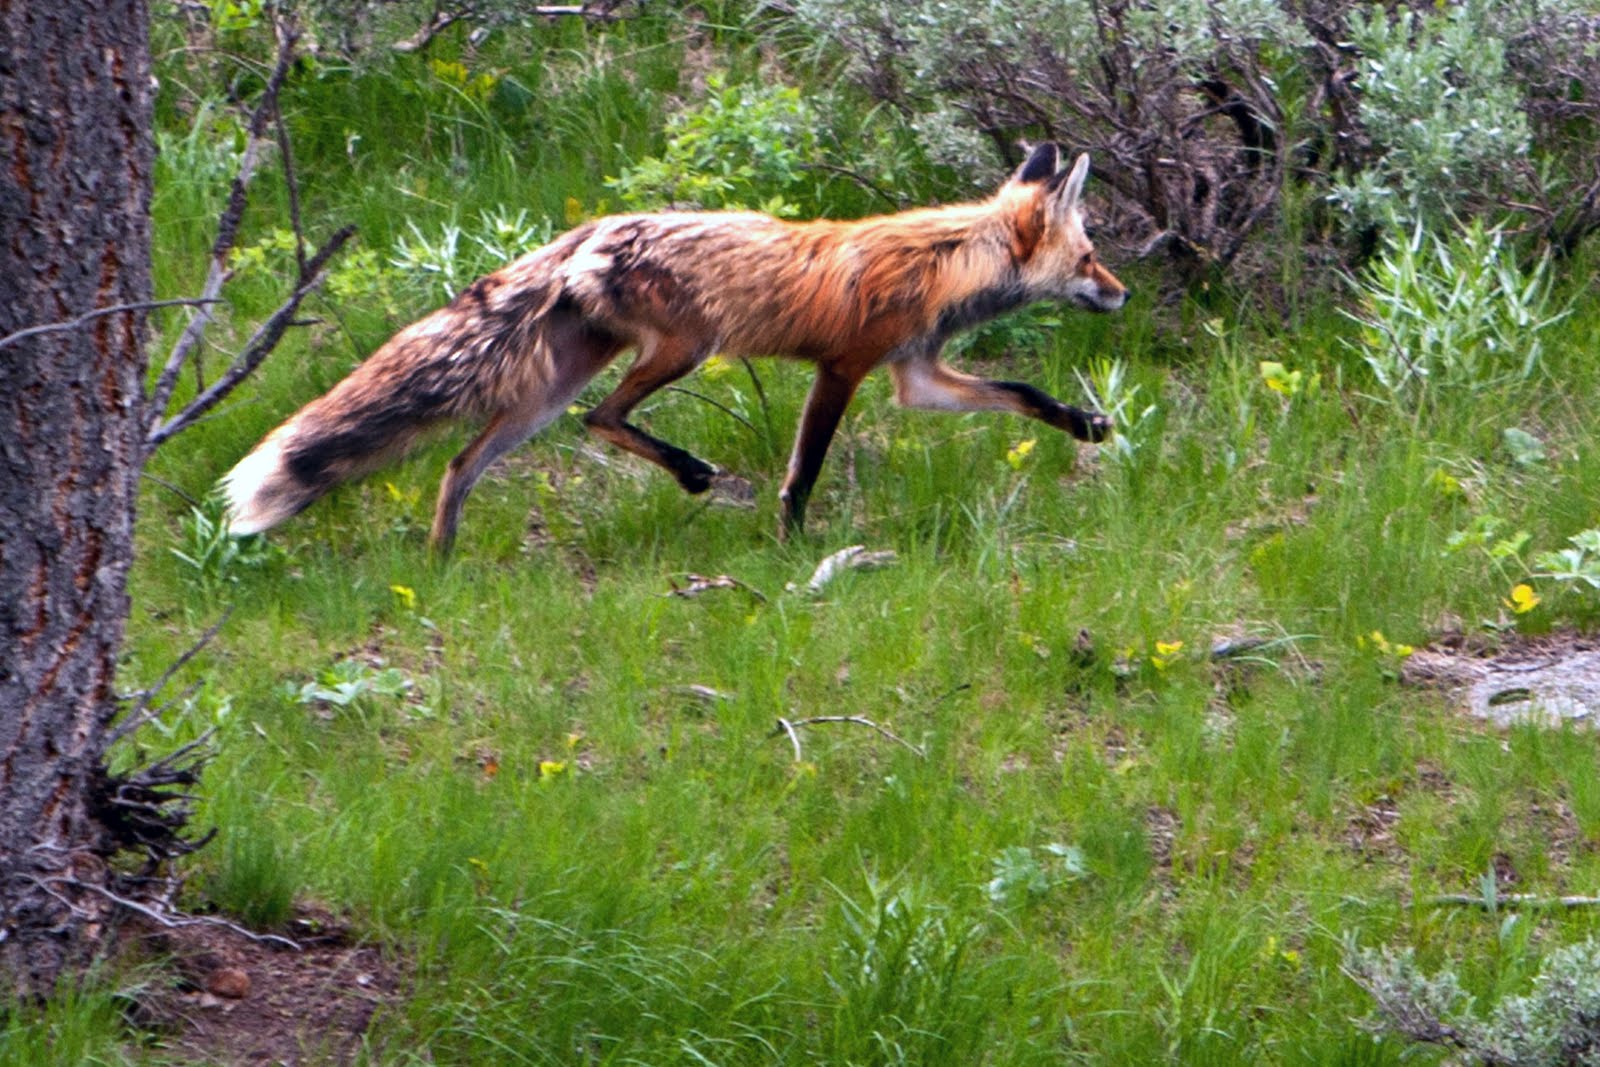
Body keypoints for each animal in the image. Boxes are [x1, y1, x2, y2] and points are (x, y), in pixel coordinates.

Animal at [222, 142, 1129, 552]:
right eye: (1090, 257)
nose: (1121, 293)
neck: (944, 261)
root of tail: (593, 227)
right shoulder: (843, 366)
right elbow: (805, 468)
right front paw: (791, 543)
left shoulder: (915, 373)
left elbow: (1020, 393)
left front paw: (1086, 424)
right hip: (683, 349)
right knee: (600, 419)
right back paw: (690, 472)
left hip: (548, 392)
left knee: (464, 461)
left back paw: (443, 563)